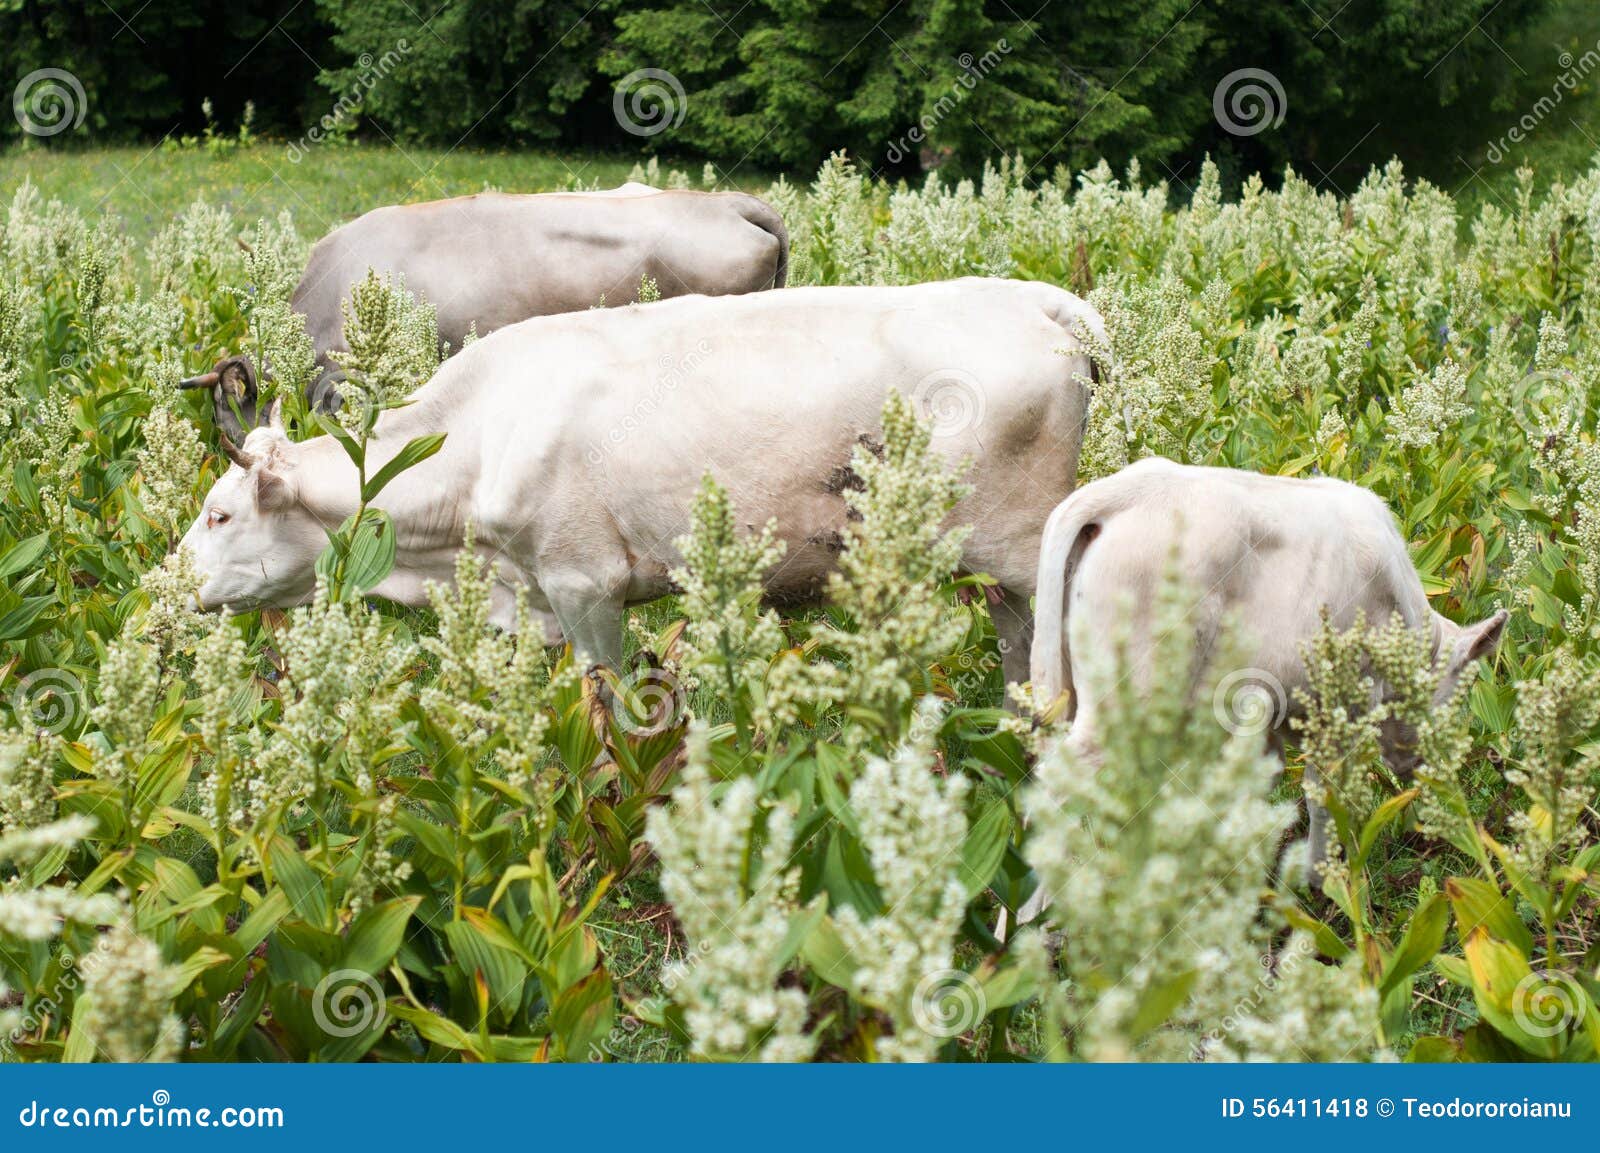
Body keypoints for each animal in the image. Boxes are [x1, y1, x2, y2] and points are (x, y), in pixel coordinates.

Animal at [1028, 456, 1507, 874]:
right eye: (1458, 698)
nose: (1421, 767)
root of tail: (1123, 491)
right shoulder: (1336, 704)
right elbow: (1322, 795)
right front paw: (1323, 877)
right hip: (1126, 702)